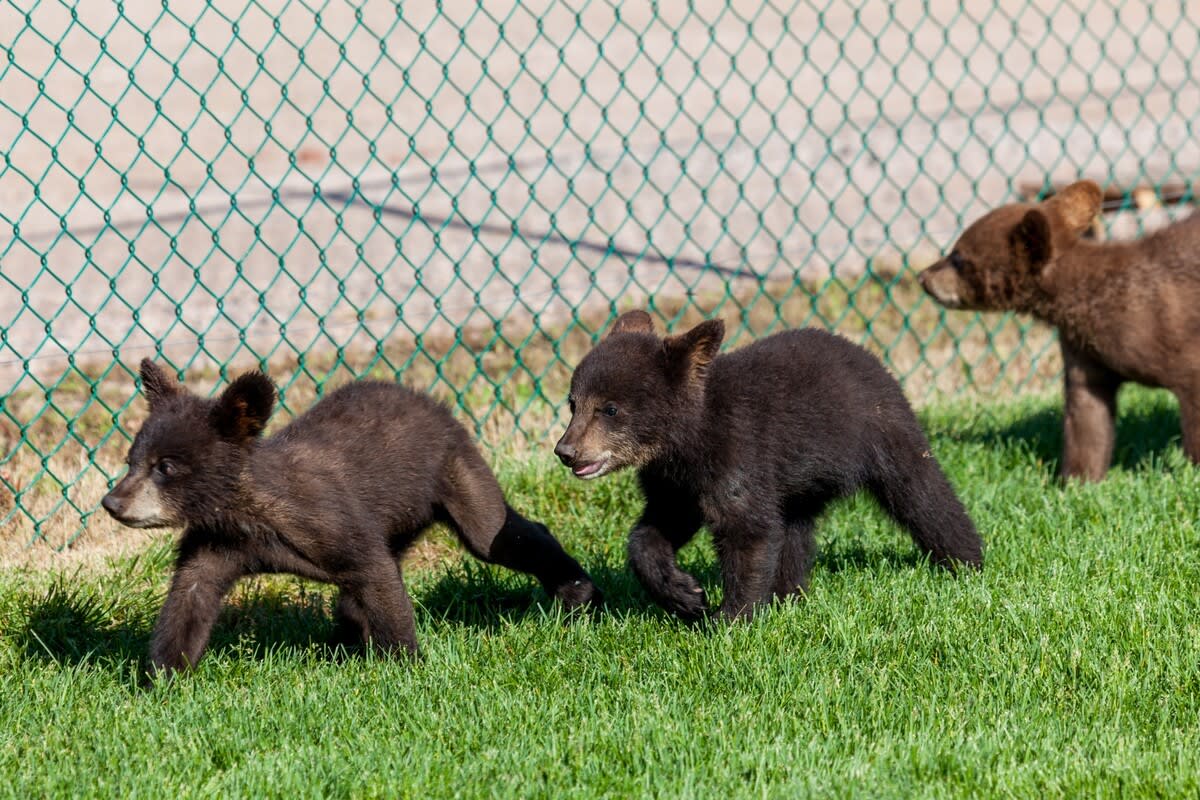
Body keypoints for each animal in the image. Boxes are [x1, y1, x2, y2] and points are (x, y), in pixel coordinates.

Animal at [102, 359, 600, 675]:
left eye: (166, 467)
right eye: (131, 460)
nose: (112, 503)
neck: (250, 512)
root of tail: (428, 398)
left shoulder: (330, 520)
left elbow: (374, 574)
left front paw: (407, 669)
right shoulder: (216, 541)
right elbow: (189, 598)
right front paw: (159, 681)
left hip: (457, 473)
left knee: (496, 531)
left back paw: (576, 591)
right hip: (395, 519)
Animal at [553, 311, 983, 622]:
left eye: (610, 409)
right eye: (573, 403)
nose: (566, 450)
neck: (684, 443)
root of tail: (873, 358)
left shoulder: (738, 455)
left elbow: (748, 531)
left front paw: (730, 619)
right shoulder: (674, 485)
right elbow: (655, 531)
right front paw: (685, 594)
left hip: (887, 435)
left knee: (924, 494)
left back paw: (967, 561)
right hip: (799, 485)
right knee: (794, 530)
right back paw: (788, 596)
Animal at [918, 179, 1200, 481]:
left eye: (958, 257)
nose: (923, 276)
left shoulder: (1174, 339)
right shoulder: (1084, 354)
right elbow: (1086, 417)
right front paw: (1077, 481)